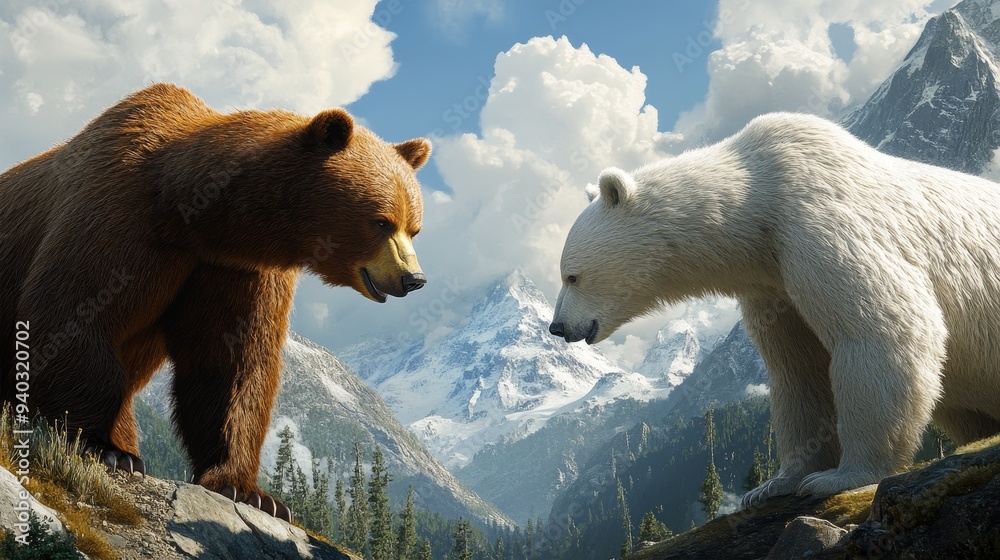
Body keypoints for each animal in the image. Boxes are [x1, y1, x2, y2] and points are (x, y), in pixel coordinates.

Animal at [0, 83, 431, 520]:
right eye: (381, 221)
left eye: (414, 227)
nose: (413, 278)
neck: (189, 216)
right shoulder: (115, 216)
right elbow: (72, 313)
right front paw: (106, 448)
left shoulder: (233, 270)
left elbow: (231, 364)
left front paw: (251, 492)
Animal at [548, 112, 1000, 506]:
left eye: (571, 276)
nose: (557, 327)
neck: (759, 199)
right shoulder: (774, 284)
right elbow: (800, 372)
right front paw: (775, 484)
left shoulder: (821, 222)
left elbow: (881, 329)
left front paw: (841, 477)